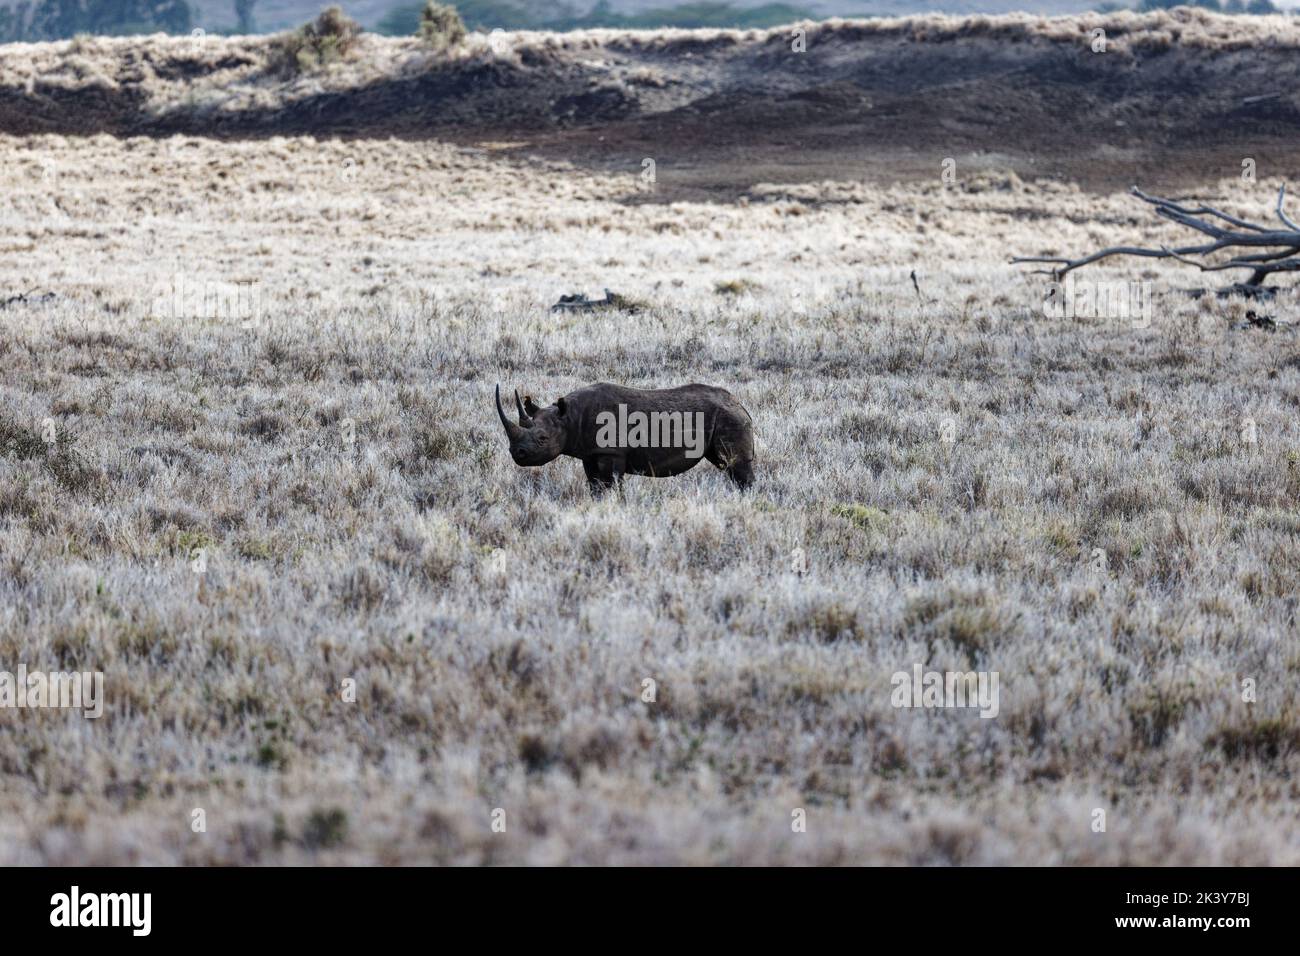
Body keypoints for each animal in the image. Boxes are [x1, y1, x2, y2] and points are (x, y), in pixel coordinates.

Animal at [495, 382, 755, 494]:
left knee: (735, 464)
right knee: (725, 464)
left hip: (728, 417)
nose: (517, 454)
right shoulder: (590, 453)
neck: (568, 418)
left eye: (542, 438)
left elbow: (612, 484)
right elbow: (595, 485)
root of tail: (739, 403)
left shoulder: (612, 453)